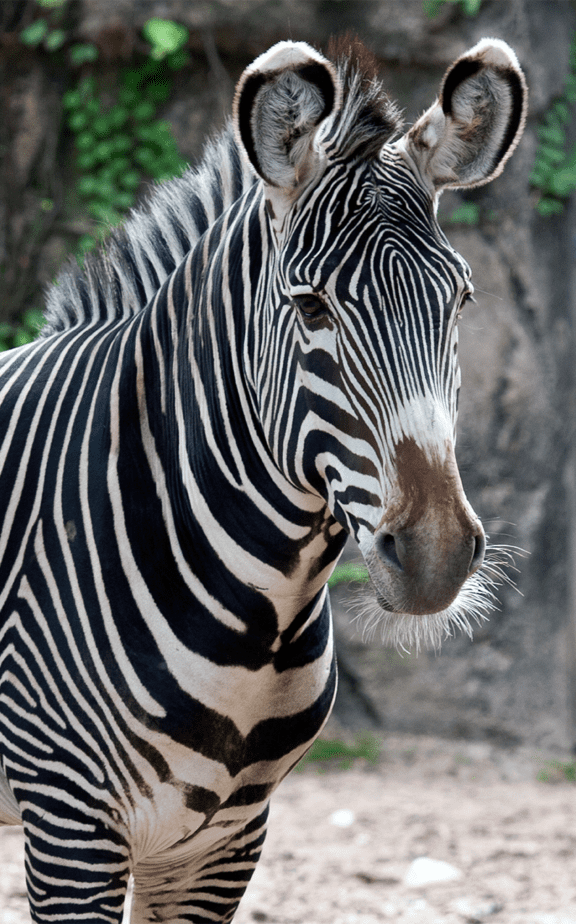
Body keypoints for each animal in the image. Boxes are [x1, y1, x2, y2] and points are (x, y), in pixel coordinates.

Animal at [0, 34, 526, 923]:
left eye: (459, 302)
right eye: (311, 309)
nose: (437, 556)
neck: (260, 624)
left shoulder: (223, 840)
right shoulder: (70, 821)